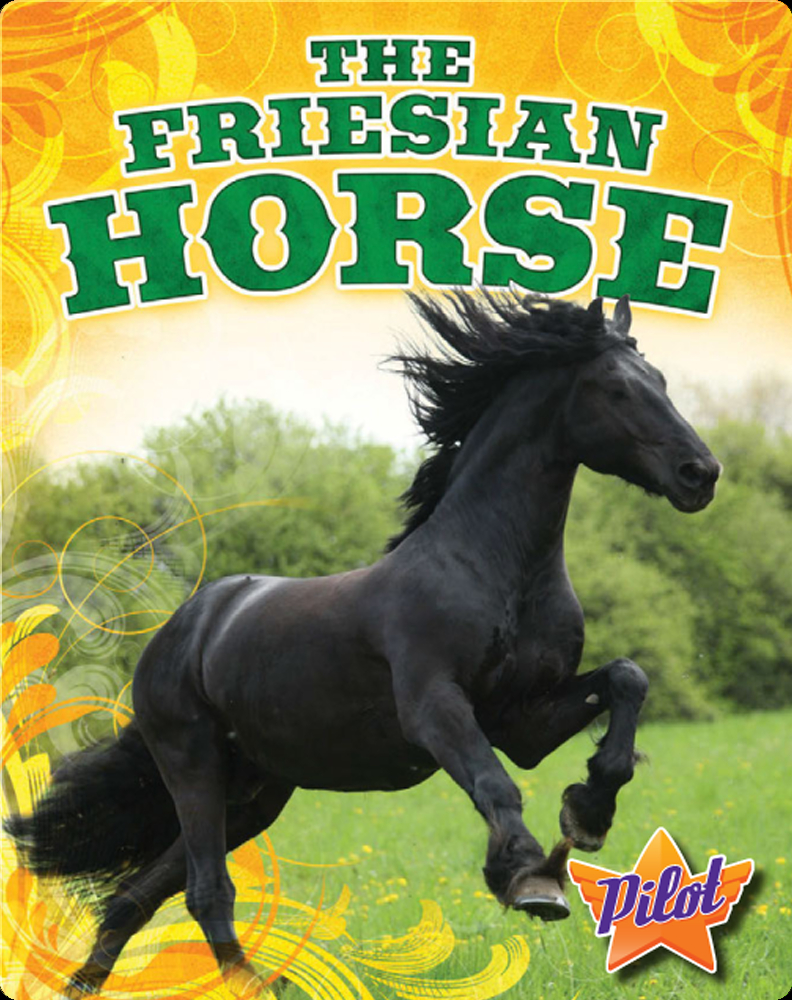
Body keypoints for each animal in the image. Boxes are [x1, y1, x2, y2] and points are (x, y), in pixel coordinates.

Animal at [6, 290, 721, 998]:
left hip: (252, 793)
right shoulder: (434, 707)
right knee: (206, 892)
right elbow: (494, 783)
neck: (492, 568)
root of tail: (178, 632)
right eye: (616, 388)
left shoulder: (524, 719)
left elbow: (627, 679)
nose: (701, 473)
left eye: (660, 381)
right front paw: (528, 878)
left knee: (138, 895)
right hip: (193, 763)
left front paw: (589, 811)